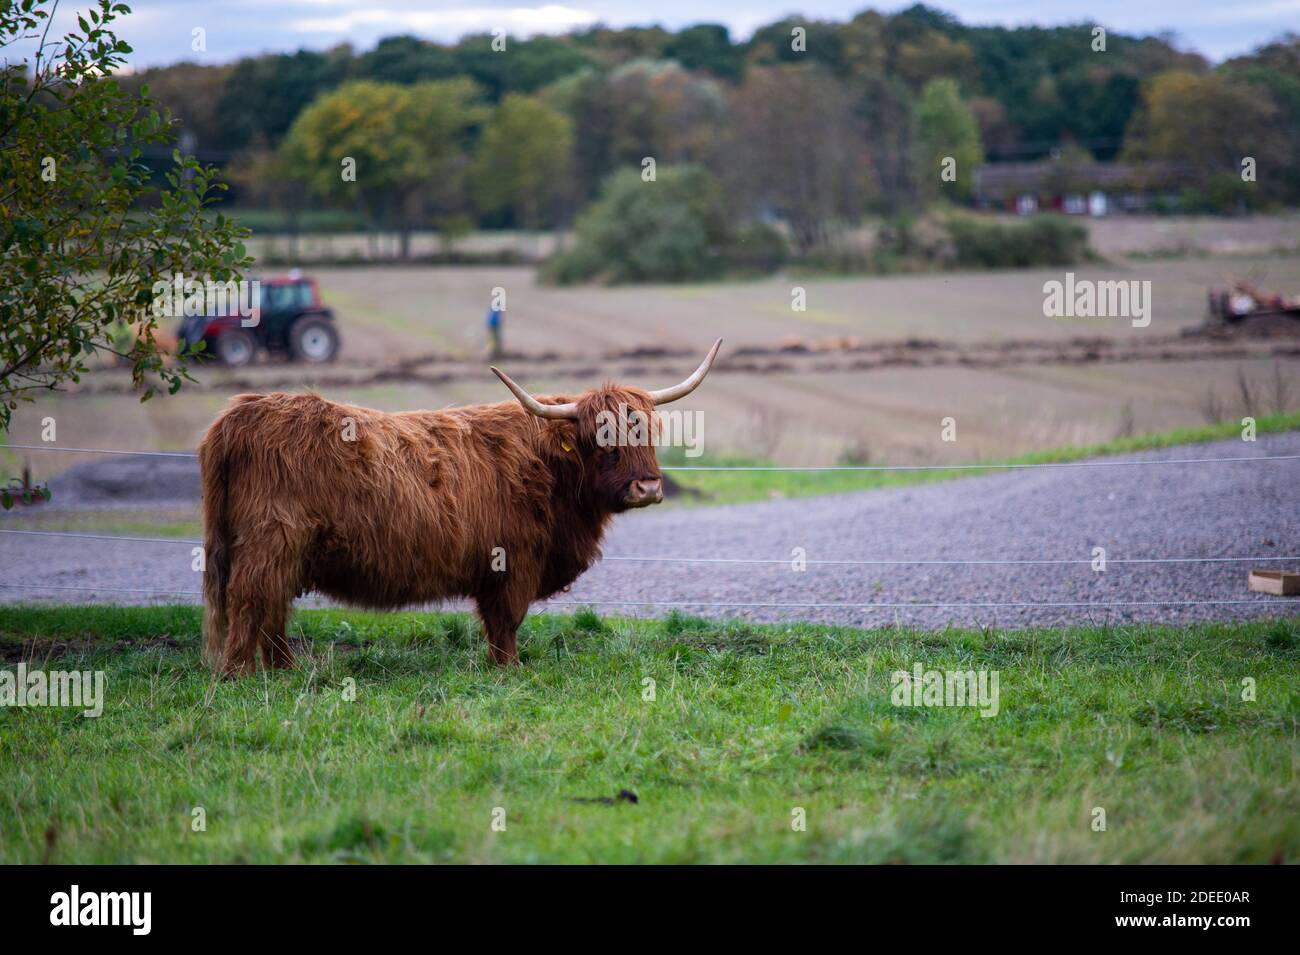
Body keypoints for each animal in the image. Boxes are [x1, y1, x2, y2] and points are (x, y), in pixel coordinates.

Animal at [198, 339, 722, 676]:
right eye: (601, 439)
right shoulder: (514, 563)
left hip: (284, 550)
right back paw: (240, 676)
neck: (553, 471)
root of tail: (242, 413)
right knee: (250, 599)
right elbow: (506, 621)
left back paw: (284, 670)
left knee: (272, 607)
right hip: (272, 539)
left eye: (649, 433)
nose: (647, 487)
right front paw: (510, 671)